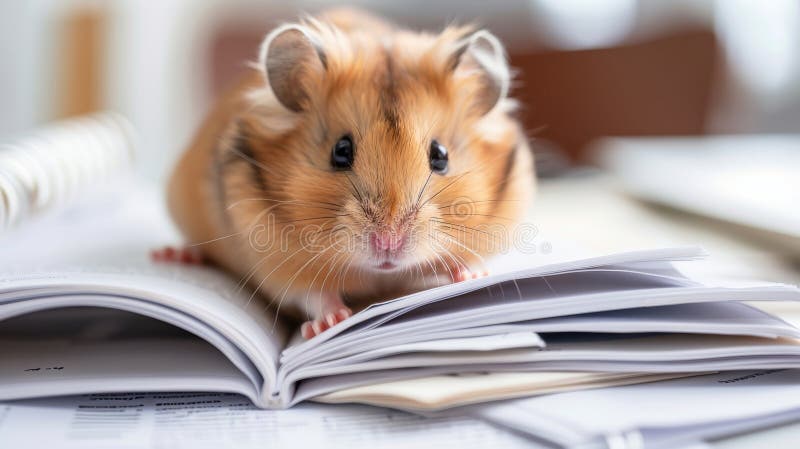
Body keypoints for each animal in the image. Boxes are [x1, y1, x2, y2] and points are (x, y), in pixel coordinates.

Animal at [165, 8, 536, 339]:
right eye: (340, 152)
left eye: (440, 156)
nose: (388, 242)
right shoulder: (277, 265)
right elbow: (311, 293)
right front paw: (331, 322)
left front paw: (472, 275)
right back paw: (175, 256)